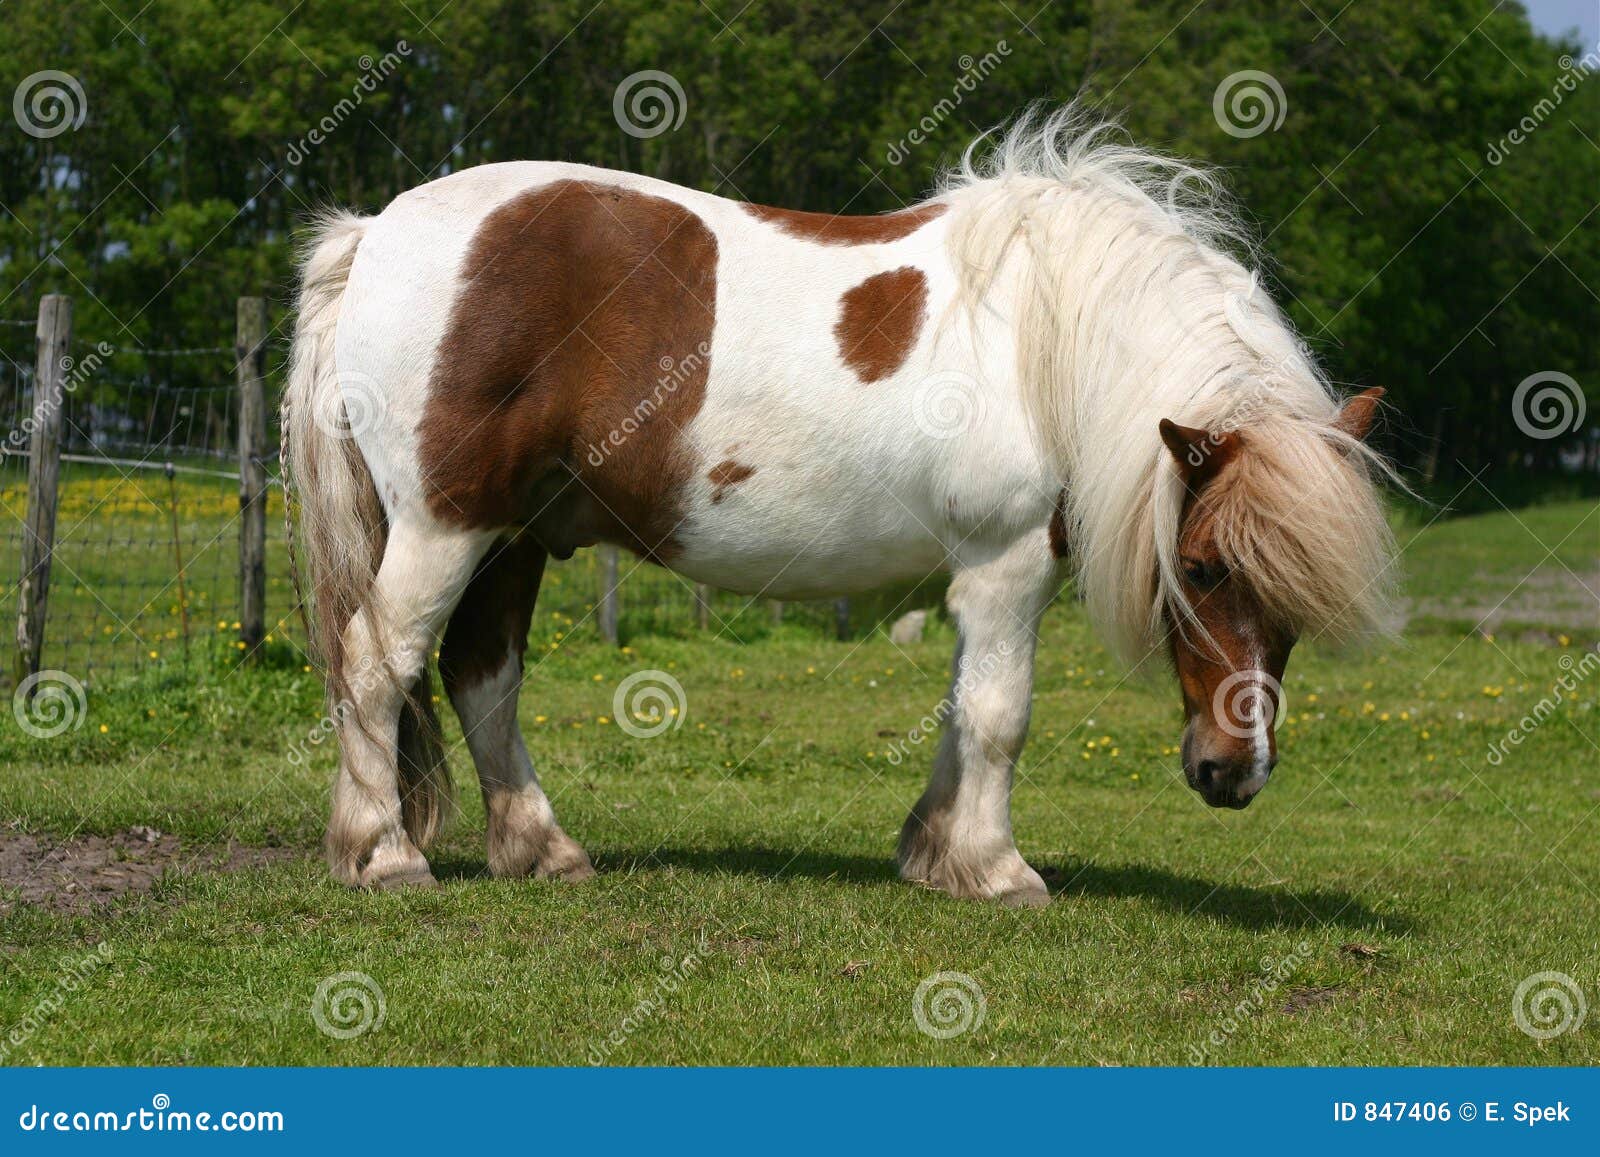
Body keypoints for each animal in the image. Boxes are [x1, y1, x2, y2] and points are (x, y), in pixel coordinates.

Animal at [284, 107, 1397, 907]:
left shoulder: (974, 576)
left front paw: (935, 851)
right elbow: (1000, 714)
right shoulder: (1007, 562)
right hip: (446, 523)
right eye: (1200, 567)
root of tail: (374, 232)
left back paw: (540, 848)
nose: (1233, 773)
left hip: (513, 535)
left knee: (483, 676)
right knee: (377, 662)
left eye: (1296, 599)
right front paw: (998, 869)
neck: (1048, 338)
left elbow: (962, 708)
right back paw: (383, 853)